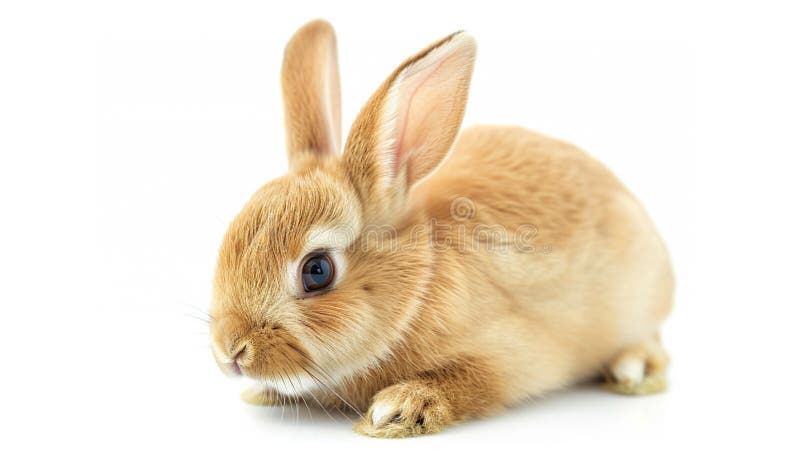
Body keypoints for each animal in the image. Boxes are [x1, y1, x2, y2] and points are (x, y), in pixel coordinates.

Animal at [209, 19, 673, 438]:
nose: (230, 350)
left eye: (317, 271)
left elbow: (473, 381)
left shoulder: (506, 356)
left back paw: (632, 370)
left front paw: (397, 411)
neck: (417, 287)